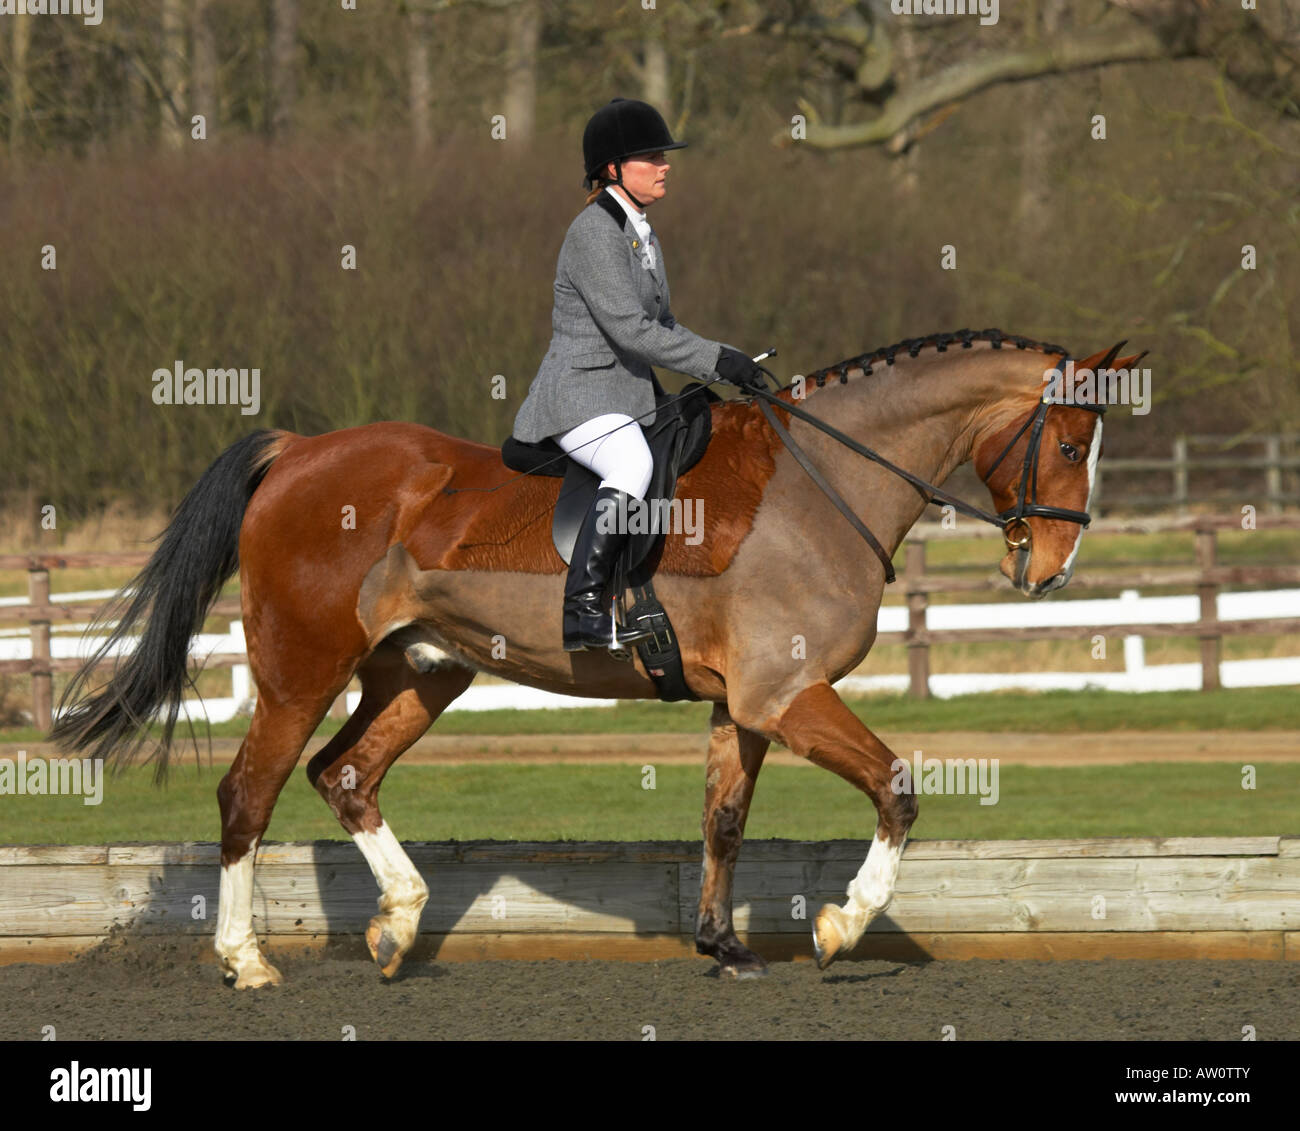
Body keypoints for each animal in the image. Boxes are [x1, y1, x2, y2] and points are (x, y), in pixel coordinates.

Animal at [51, 327, 1144, 988]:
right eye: (1070, 443)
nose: (1049, 569)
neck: (821, 480)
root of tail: (299, 452)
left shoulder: (745, 705)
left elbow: (723, 820)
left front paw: (723, 945)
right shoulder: (788, 695)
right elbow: (898, 788)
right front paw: (839, 927)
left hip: (422, 670)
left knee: (345, 773)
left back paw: (399, 922)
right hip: (299, 670)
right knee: (251, 793)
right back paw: (247, 961)